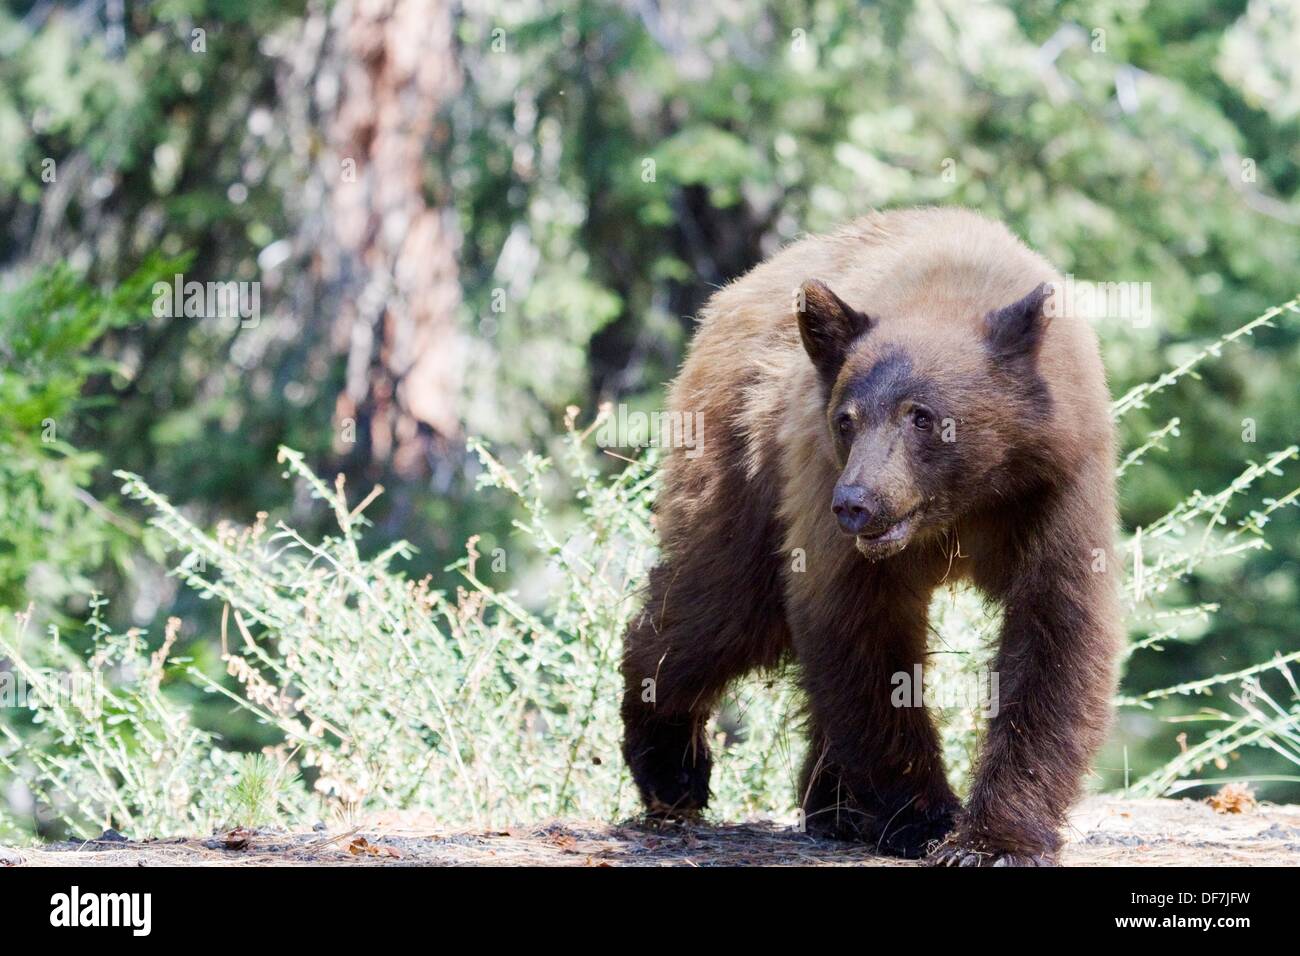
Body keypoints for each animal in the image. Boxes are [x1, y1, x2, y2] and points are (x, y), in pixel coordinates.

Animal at [619, 206, 1121, 866]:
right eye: (846, 420)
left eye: (922, 417)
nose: (855, 505)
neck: (966, 505)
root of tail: (729, 297)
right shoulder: (822, 485)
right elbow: (860, 627)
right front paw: (924, 818)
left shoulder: (1057, 483)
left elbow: (1055, 627)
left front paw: (993, 839)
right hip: (743, 466)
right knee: (720, 609)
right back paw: (672, 767)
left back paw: (832, 805)